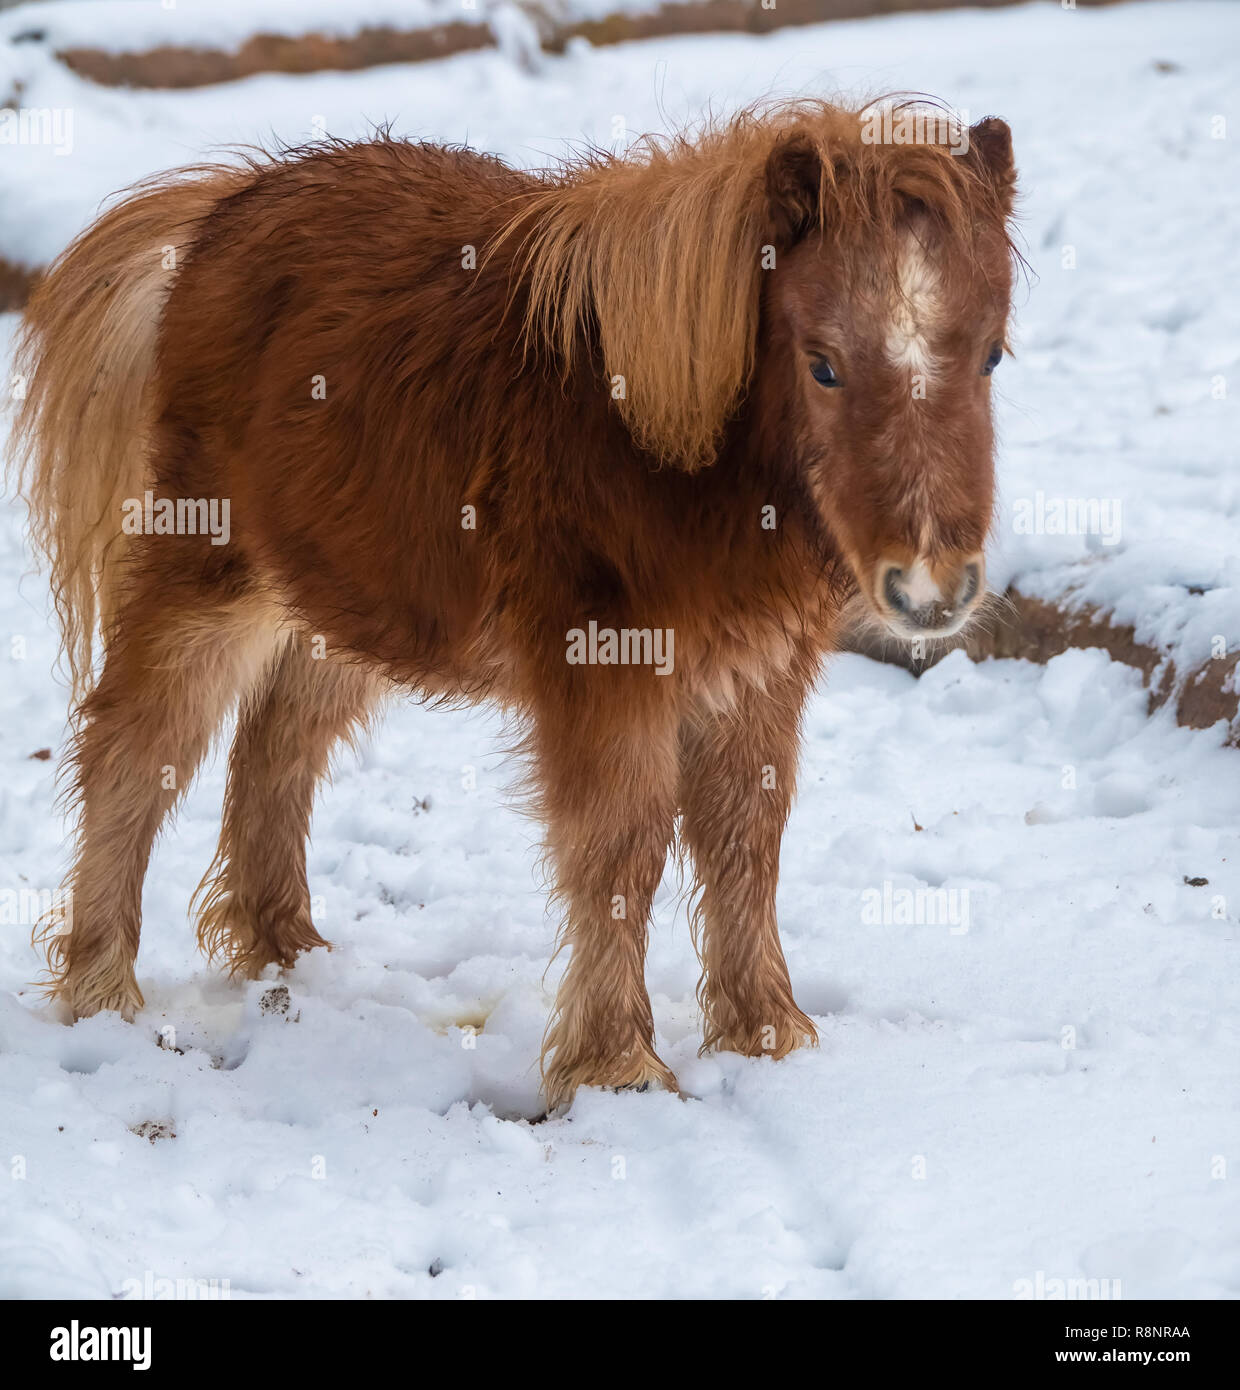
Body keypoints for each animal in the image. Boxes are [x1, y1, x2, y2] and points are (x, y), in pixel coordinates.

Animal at [8, 99, 1017, 1106]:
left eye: (992, 355)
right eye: (824, 366)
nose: (931, 589)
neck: (652, 436)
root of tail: (222, 208)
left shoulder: (759, 676)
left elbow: (745, 844)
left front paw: (768, 1037)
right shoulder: (604, 672)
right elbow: (621, 849)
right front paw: (620, 1071)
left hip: (347, 606)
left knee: (275, 746)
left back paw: (289, 956)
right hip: (208, 580)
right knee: (138, 748)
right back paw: (103, 988)